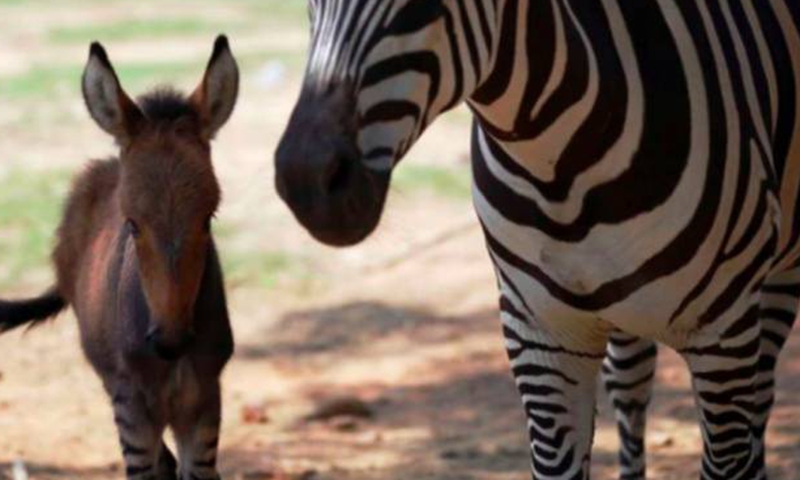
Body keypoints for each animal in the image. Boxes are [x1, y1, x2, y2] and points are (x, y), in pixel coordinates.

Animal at [274, 1, 800, 479]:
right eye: (309, 4)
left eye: (424, 4)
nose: (305, 181)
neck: (558, 166)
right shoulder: (538, 333)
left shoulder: (724, 333)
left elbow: (729, 457)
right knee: (631, 387)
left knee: (760, 399)